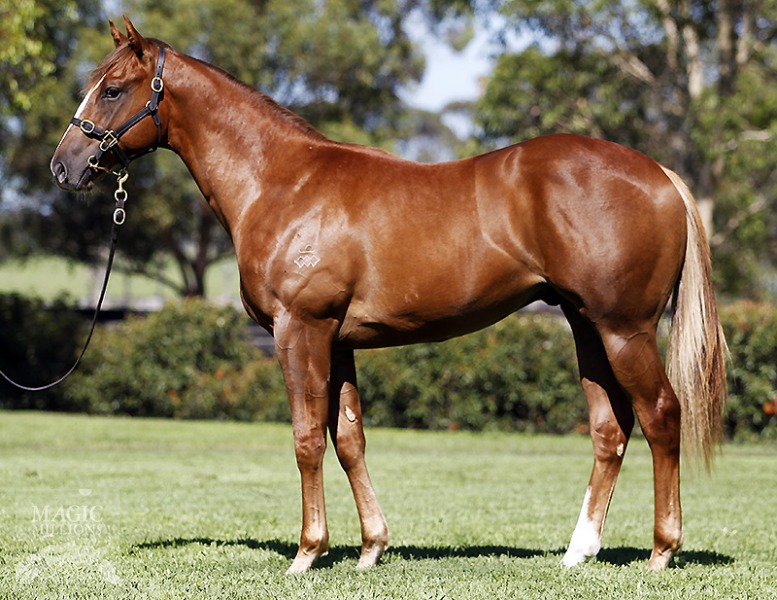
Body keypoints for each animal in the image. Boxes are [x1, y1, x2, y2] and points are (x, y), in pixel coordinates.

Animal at [50, 18, 727, 573]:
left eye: (113, 89)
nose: (65, 165)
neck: (281, 181)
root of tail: (658, 174)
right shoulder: (338, 341)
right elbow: (348, 439)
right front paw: (371, 548)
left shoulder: (300, 330)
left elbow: (305, 438)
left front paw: (307, 553)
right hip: (586, 325)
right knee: (610, 429)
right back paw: (578, 551)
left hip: (624, 329)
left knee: (661, 415)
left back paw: (662, 551)